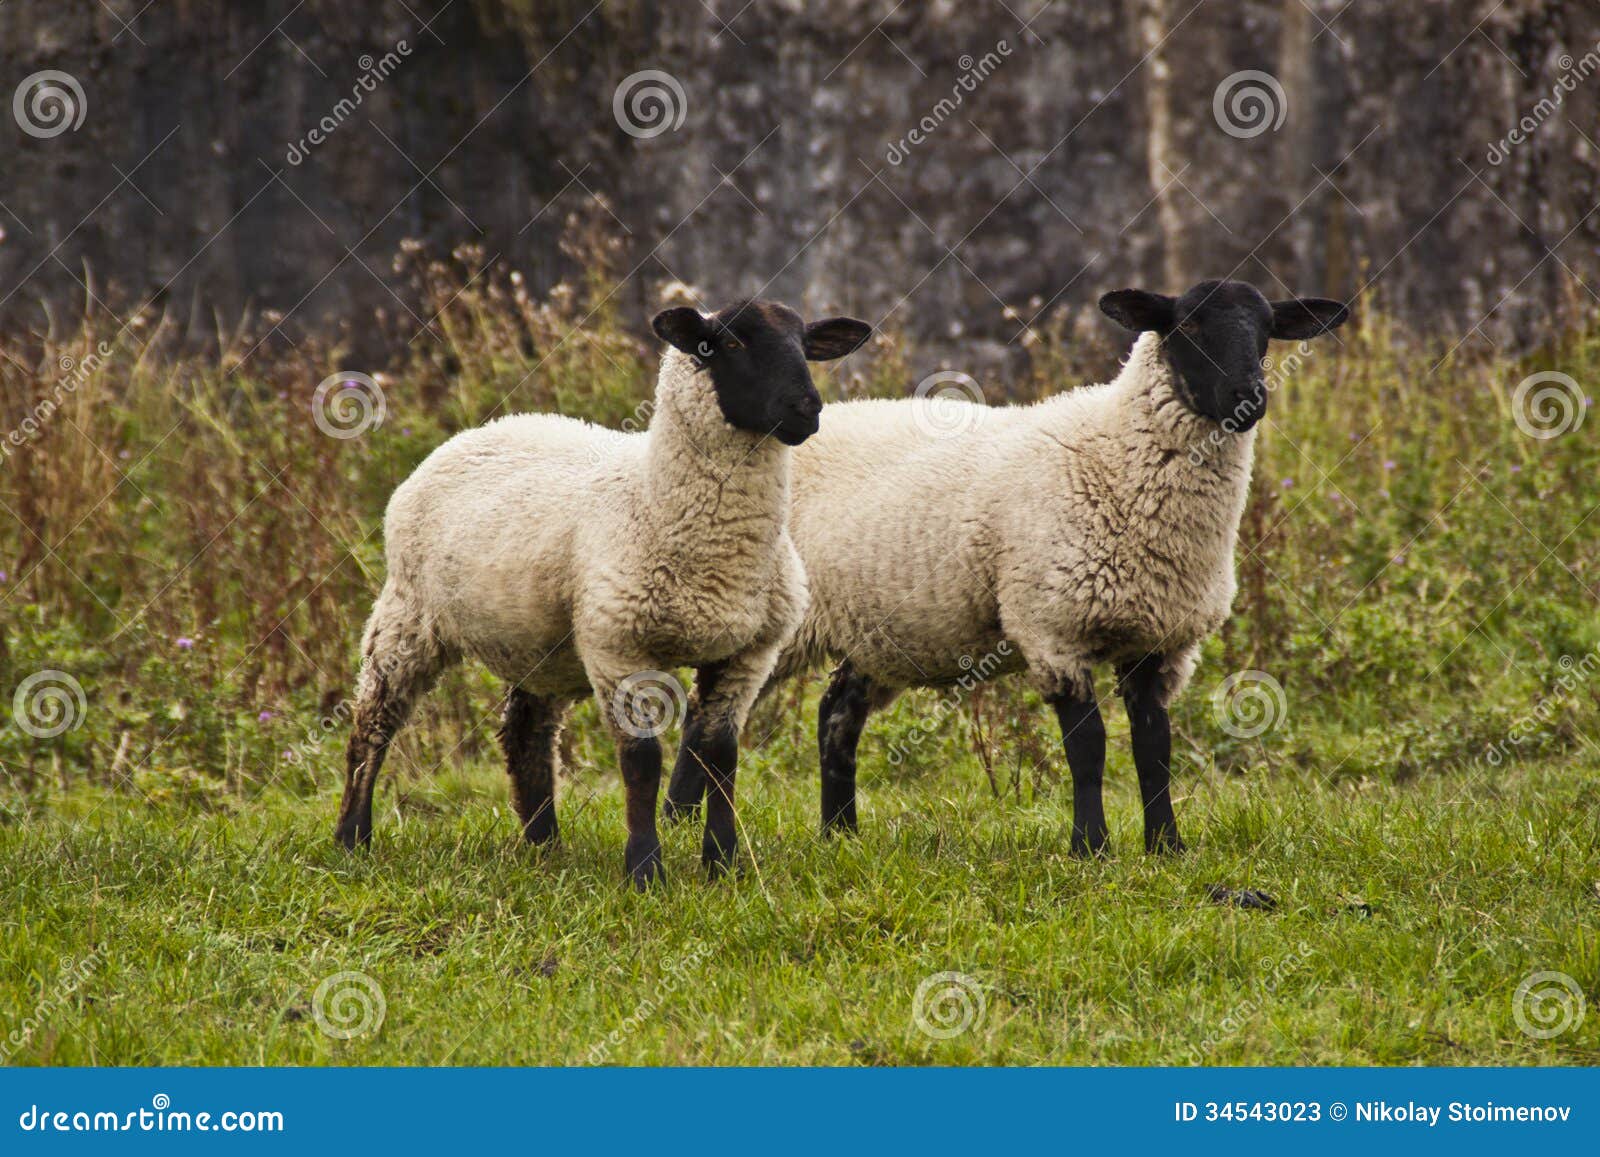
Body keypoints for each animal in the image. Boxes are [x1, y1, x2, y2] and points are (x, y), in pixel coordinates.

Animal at [334, 299, 872, 888]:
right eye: (729, 343)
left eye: (804, 345)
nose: (807, 409)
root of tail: (486, 427)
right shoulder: (619, 648)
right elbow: (642, 762)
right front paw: (645, 871)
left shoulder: (746, 653)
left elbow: (719, 755)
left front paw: (723, 864)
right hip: (408, 614)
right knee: (373, 722)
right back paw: (352, 838)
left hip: (541, 643)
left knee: (526, 733)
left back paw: (544, 846)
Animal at [665, 280, 1348, 856]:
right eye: (1189, 327)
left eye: (1267, 333)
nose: (1248, 399)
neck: (1116, 454)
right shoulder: (1053, 627)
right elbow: (1089, 749)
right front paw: (1092, 850)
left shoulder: (1157, 641)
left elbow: (1155, 749)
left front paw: (1166, 848)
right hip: (773, 625)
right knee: (705, 716)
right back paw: (679, 822)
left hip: (875, 630)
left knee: (835, 715)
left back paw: (841, 835)